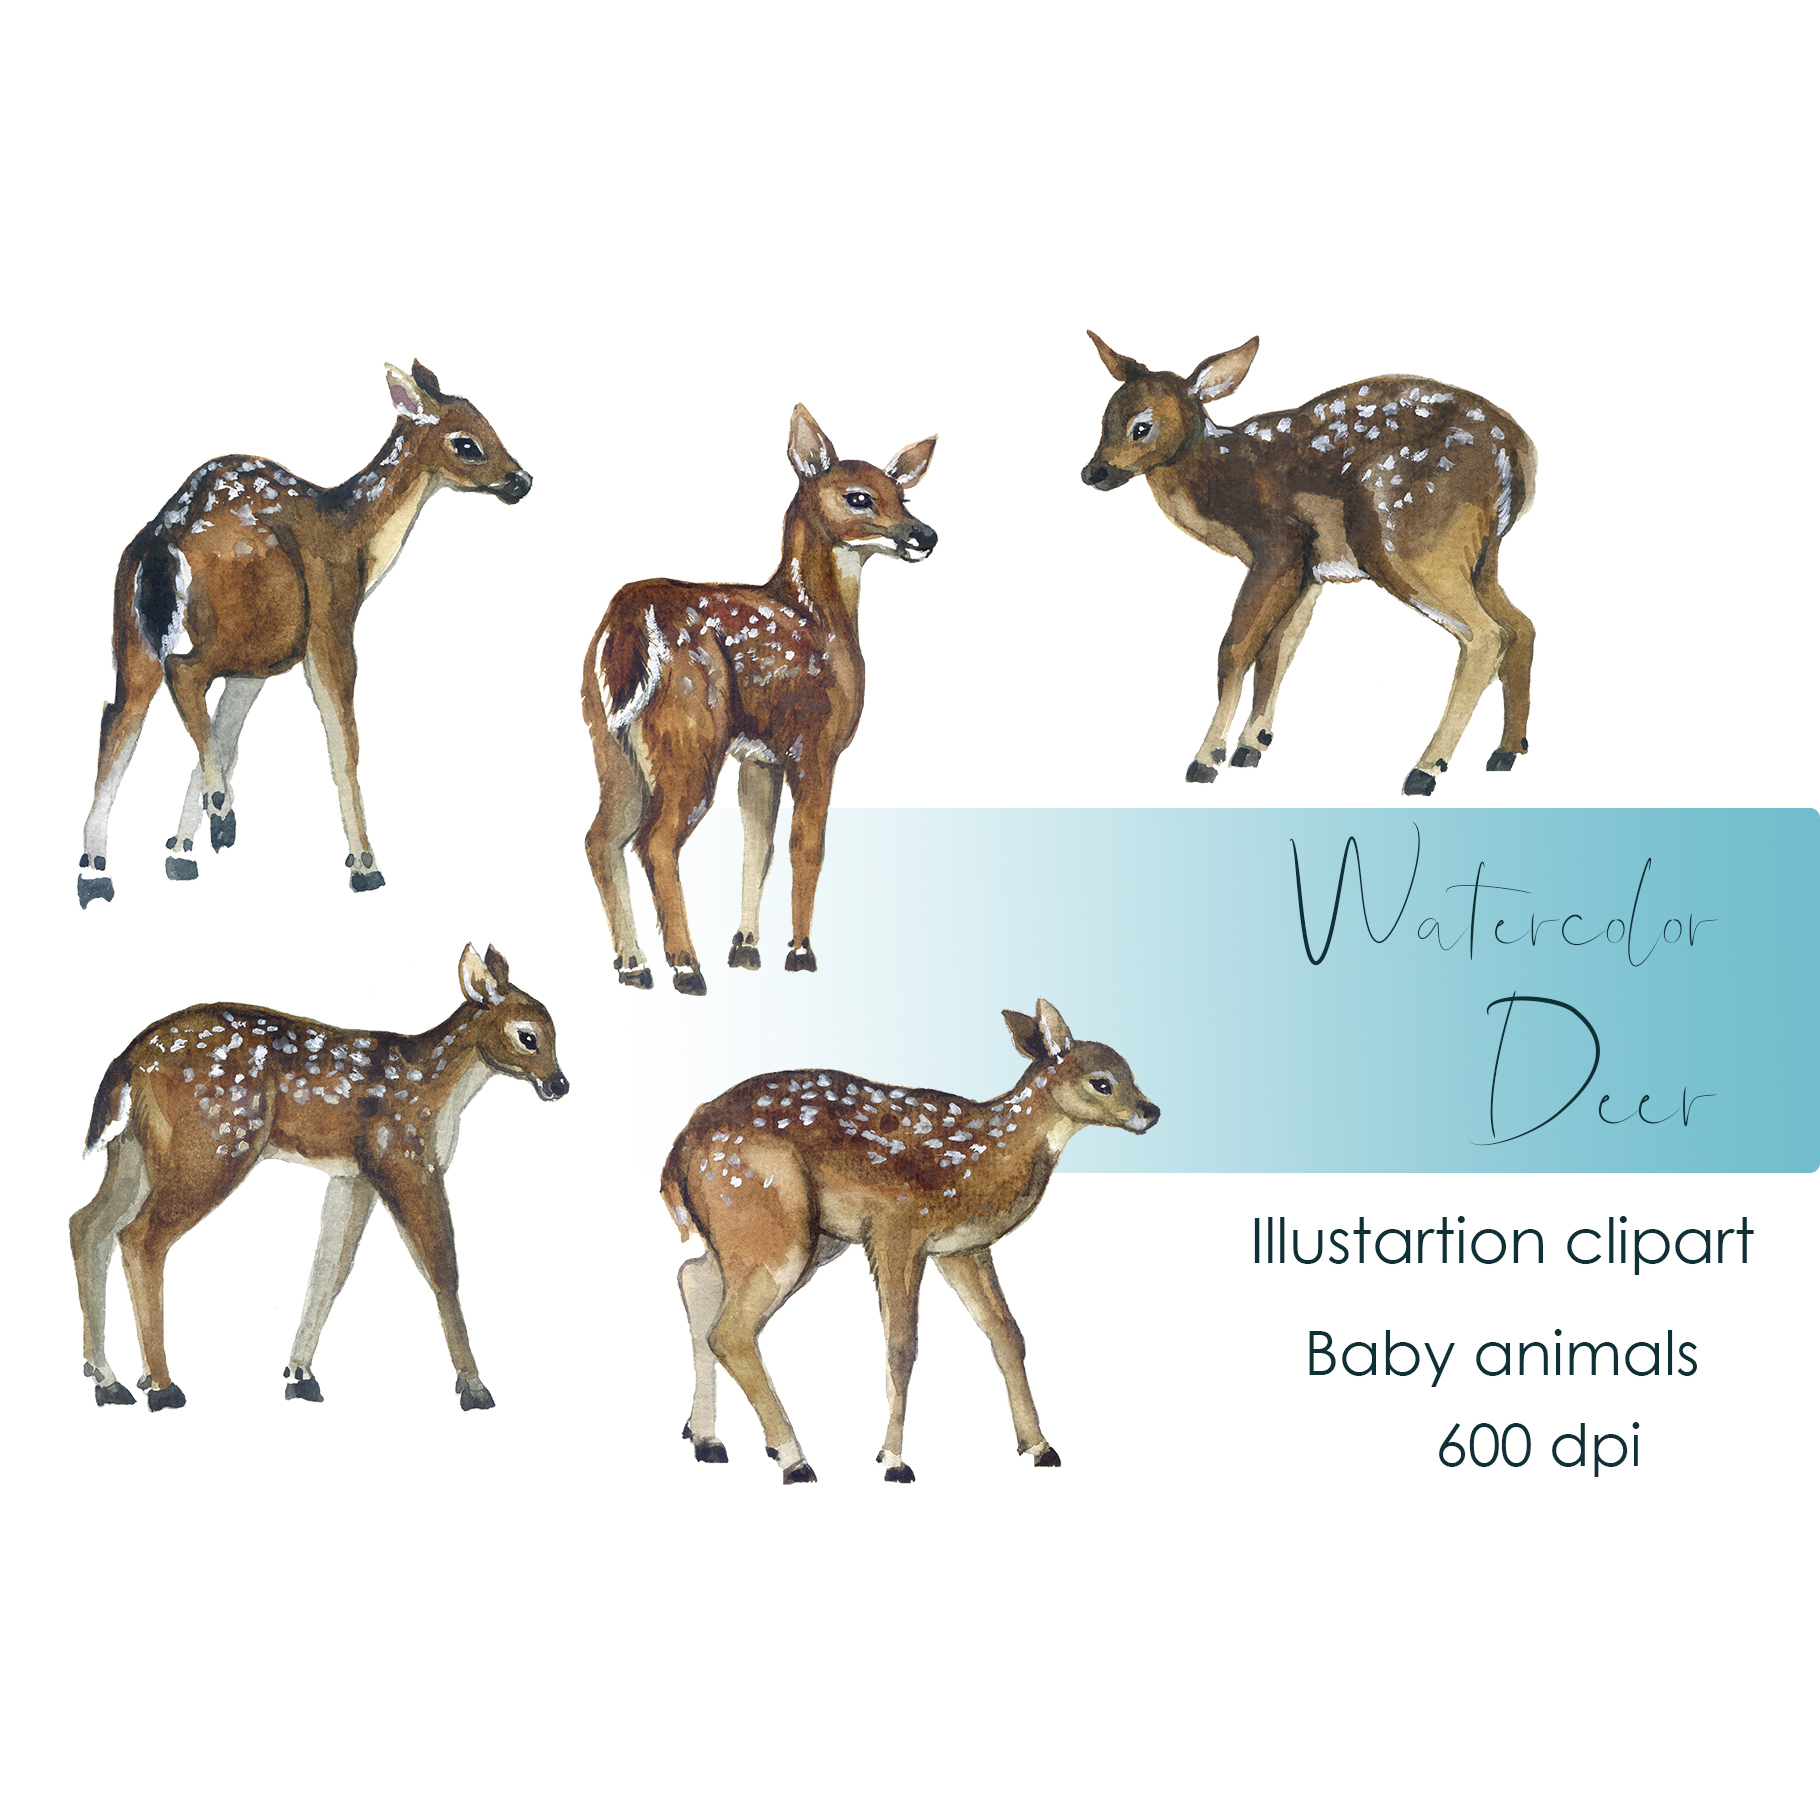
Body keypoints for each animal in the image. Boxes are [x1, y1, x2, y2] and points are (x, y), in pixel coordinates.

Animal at [70, 944, 568, 1412]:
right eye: (528, 1036)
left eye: (555, 1033)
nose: (559, 1084)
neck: (440, 1091)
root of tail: (130, 1058)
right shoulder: (403, 1157)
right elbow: (443, 1269)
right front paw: (474, 1386)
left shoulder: (355, 1175)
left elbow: (330, 1269)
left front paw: (299, 1375)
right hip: (217, 1141)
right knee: (140, 1236)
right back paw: (162, 1386)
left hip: (136, 1148)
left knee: (88, 1224)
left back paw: (107, 1378)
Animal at [77, 362, 532, 906]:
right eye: (467, 443)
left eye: (488, 422)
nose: (523, 480)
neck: (356, 543)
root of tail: (162, 541)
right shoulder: (328, 628)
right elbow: (343, 744)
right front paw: (364, 866)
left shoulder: (258, 668)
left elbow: (228, 737)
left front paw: (181, 850)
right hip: (234, 626)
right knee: (181, 675)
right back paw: (220, 818)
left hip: (138, 633)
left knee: (120, 717)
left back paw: (96, 870)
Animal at [582, 404, 936, 995]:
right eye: (859, 497)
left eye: (903, 495)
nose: (926, 535)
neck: (819, 617)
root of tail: (627, 618)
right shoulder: (815, 741)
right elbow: (805, 845)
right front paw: (800, 952)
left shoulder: (759, 755)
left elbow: (758, 843)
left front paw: (746, 948)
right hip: (688, 732)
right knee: (654, 840)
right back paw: (685, 966)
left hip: (610, 740)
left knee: (601, 837)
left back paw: (633, 965)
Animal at [661, 999, 1159, 1483]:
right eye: (1101, 1082)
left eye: (1131, 1071)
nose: (1151, 1111)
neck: (990, 1159)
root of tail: (678, 1150)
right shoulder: (897, 1226)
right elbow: (902, 1346)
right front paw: (893, 1460)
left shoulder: (961, 1247)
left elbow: (1006, 1334)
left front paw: (1039, 1447)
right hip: (772, 1219)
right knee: (730, 1331)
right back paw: (793, 1459)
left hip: (788, 1236)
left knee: (695, 1280)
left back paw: (706, 1439)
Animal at [1081, 332, 1538, 796]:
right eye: (1104, 420)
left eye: (1142, 426)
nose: (1093, 472)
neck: (1221, 481)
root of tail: (1516, 453)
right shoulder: (1309, 572)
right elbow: (1278, 649)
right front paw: (1252, 745)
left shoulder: (1278, 547)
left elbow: (1236, 649)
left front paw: (1208, 758)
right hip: (1480, 555)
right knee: (1521, 626)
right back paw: (1505, 752)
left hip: (1406, 540)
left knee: (1485, 635)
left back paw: (1425, 770)